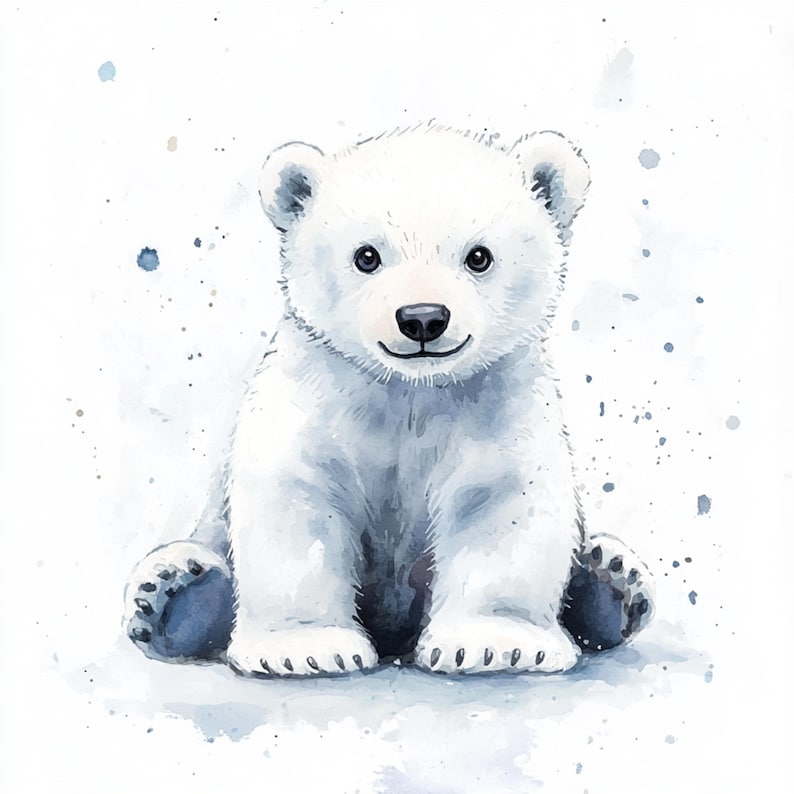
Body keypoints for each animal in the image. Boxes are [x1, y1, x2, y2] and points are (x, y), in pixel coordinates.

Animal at [124, 123, 655, 677]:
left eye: (479, 256)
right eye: (367, 256)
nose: (422, 318)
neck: (410, 390)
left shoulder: (495, 406)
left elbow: (499, 504)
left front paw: (496, 644)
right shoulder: (313, 403)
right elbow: (297, 501)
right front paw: (305, 648)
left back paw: (610, 580)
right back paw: (178, 593)